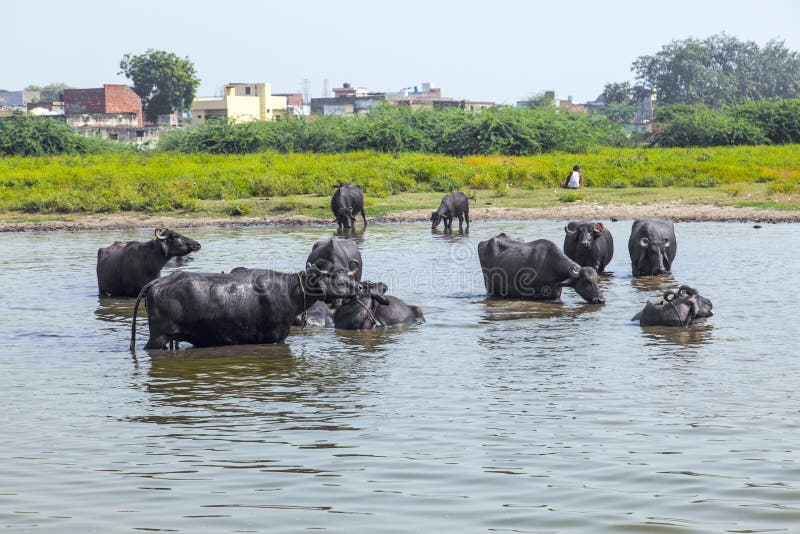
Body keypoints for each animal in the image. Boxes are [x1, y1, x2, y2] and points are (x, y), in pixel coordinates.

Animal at [130, 260, 360, 350]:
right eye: (334, 276)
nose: (358, 287)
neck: (290, 291)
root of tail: (157, 283)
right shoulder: (275, 338)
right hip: (158, 337)